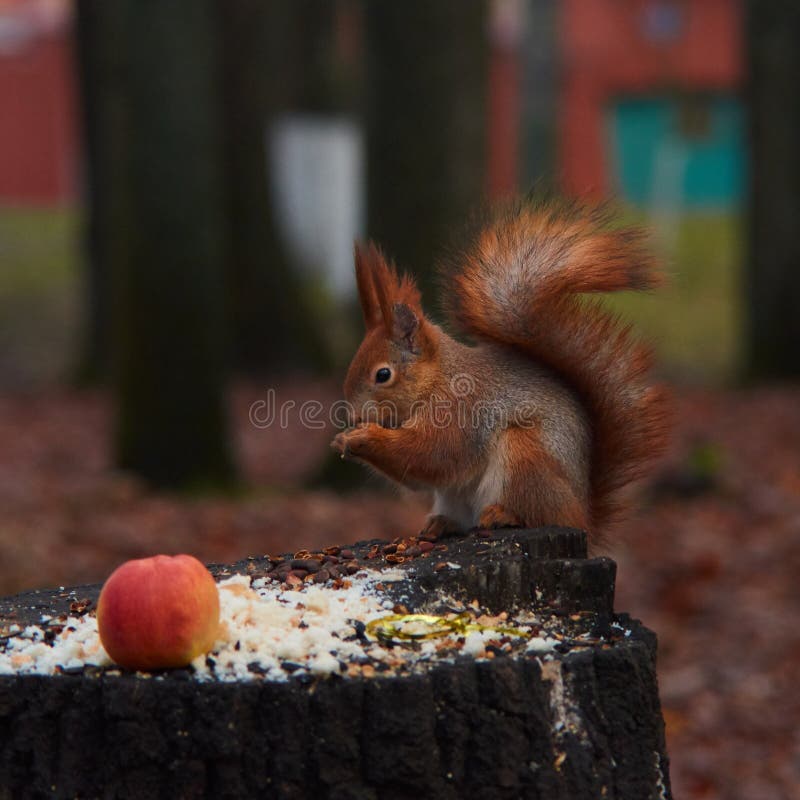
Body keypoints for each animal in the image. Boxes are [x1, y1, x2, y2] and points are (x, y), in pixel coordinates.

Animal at [331, 197, 670, 540]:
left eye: (383, 375)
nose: (353, 417)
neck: (439, 379)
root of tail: (584, 517)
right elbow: (419, 474)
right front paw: (344, 439)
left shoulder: (460, 411)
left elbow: (432, 454)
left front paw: (362, 437)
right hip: (456, 496)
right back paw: (441, 523)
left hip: (525, 457)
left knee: (541, 512)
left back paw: (504, 515)